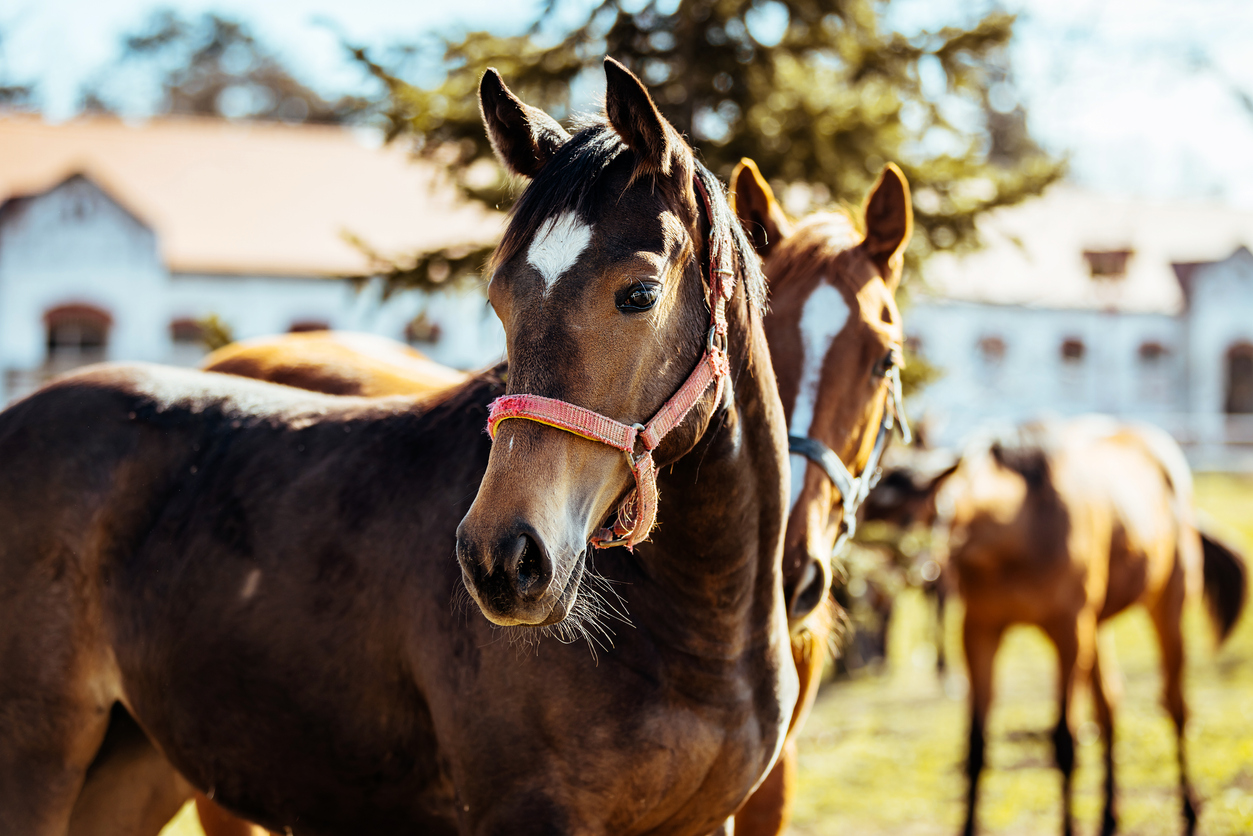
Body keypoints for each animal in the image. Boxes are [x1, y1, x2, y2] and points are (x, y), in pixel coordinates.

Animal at [931, 416, 1248, 836]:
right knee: (1110, 705)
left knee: (1176, 706)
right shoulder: (979, 630)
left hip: (1167, 604)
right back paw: (1109, 815)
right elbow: (976, 743)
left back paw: (1190, 810)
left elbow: (1065, 740)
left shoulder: (1069, 631)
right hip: (1096, 628)